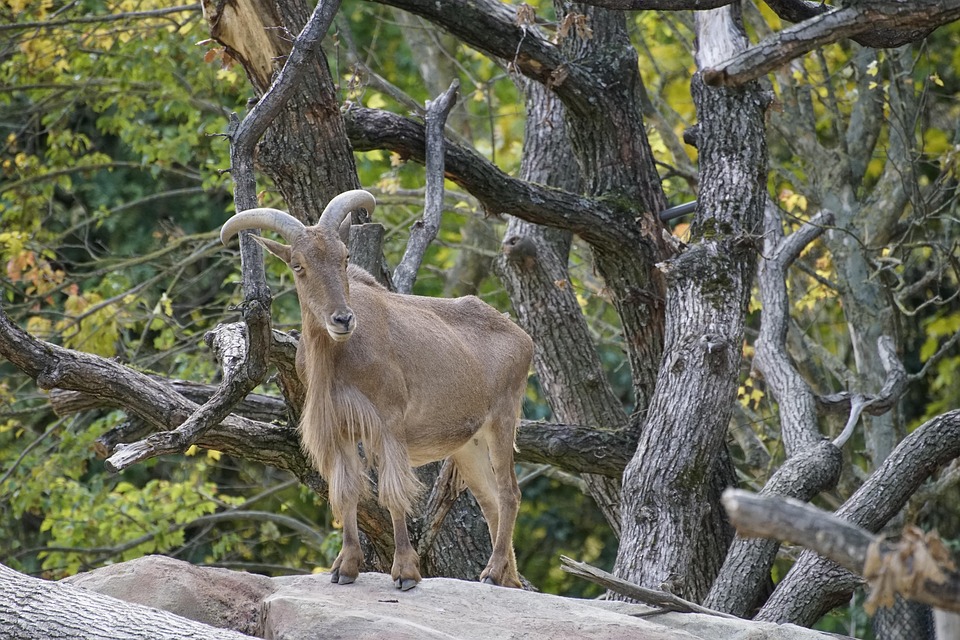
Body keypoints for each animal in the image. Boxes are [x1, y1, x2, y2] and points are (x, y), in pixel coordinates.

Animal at [220, 190, 533, 590]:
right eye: (298, 265)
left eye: (344, 257)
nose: (342, 319)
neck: (339, 357)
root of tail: (521, 335)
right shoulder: (339, 430)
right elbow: (346, 491)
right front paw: (345, 567)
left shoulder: (388, 424)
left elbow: (391, 492)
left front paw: (405, 572)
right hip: (468, 443)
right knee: (491, 499)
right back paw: (507, 578)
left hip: (502, 419)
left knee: (510, 493)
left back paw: (493, 572)